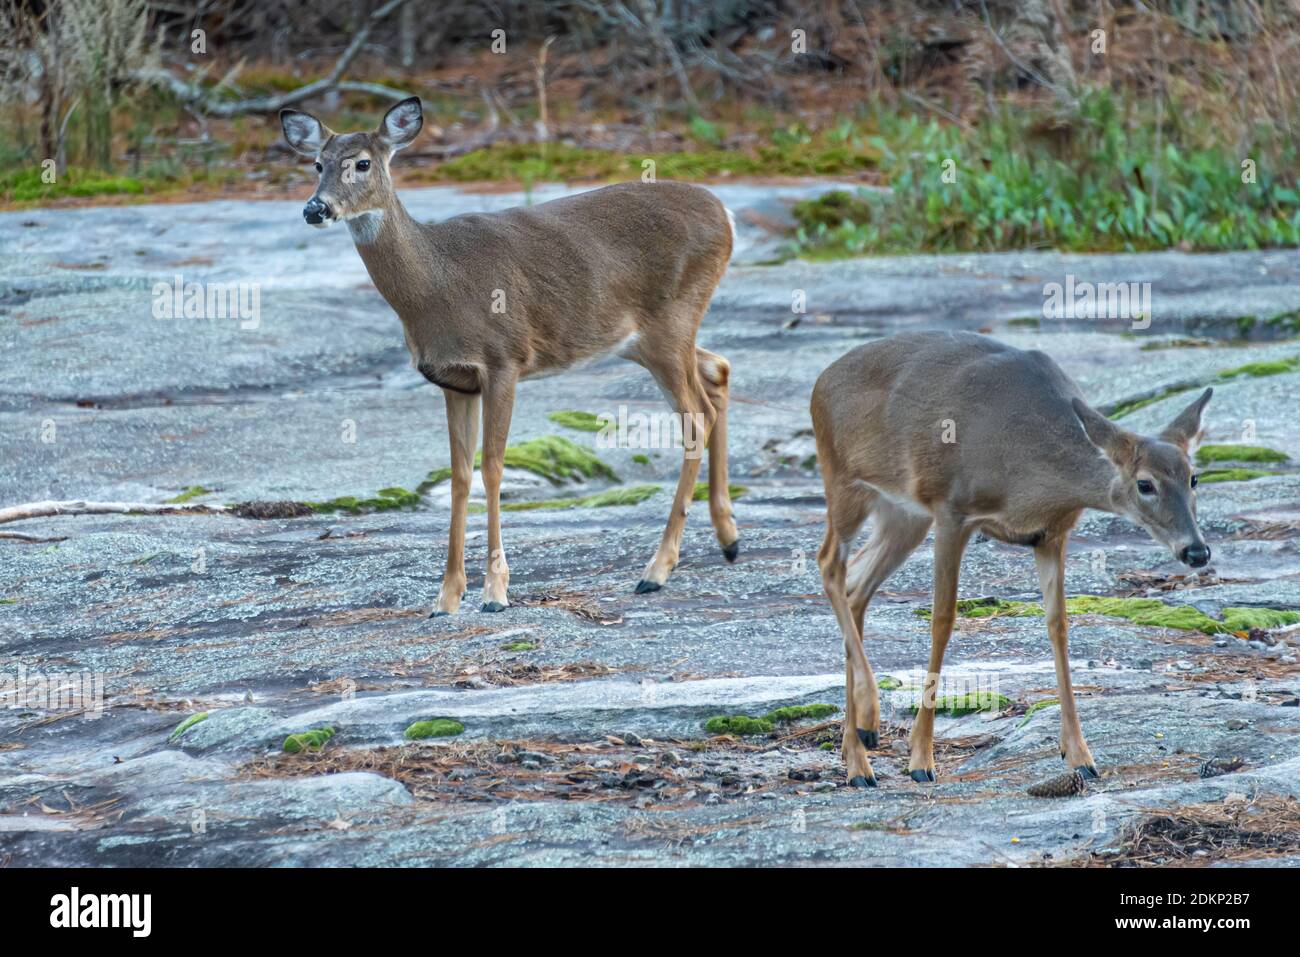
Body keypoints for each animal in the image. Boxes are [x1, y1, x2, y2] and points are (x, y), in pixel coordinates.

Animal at [279, 97, 739, 615]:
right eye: (316, 164)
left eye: (362, 163)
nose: (315, 208)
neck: (437, 283)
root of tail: (725, 214)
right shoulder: (453, 380)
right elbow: (460, 475)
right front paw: (447, 595)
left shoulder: (505, 358)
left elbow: (493, 468)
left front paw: (495, 591)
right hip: (644, 339)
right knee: (717, 371)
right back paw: (728, 539)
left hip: (672, 320)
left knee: (696, 417)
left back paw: (656, 571)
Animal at [812, 330, 1214, 787]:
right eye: (1145, 484)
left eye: (1194, 477)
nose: (1196, 550)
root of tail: (820, 383)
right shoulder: (952, 509)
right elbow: (942, 620)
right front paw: (920, 759)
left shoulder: (1051, 535)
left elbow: (1058, 626)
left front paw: (1079, 755)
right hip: (844, 480)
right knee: (829, 564)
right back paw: (868, 727)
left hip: (903, 513)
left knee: (856, 586)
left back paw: (858, 757)